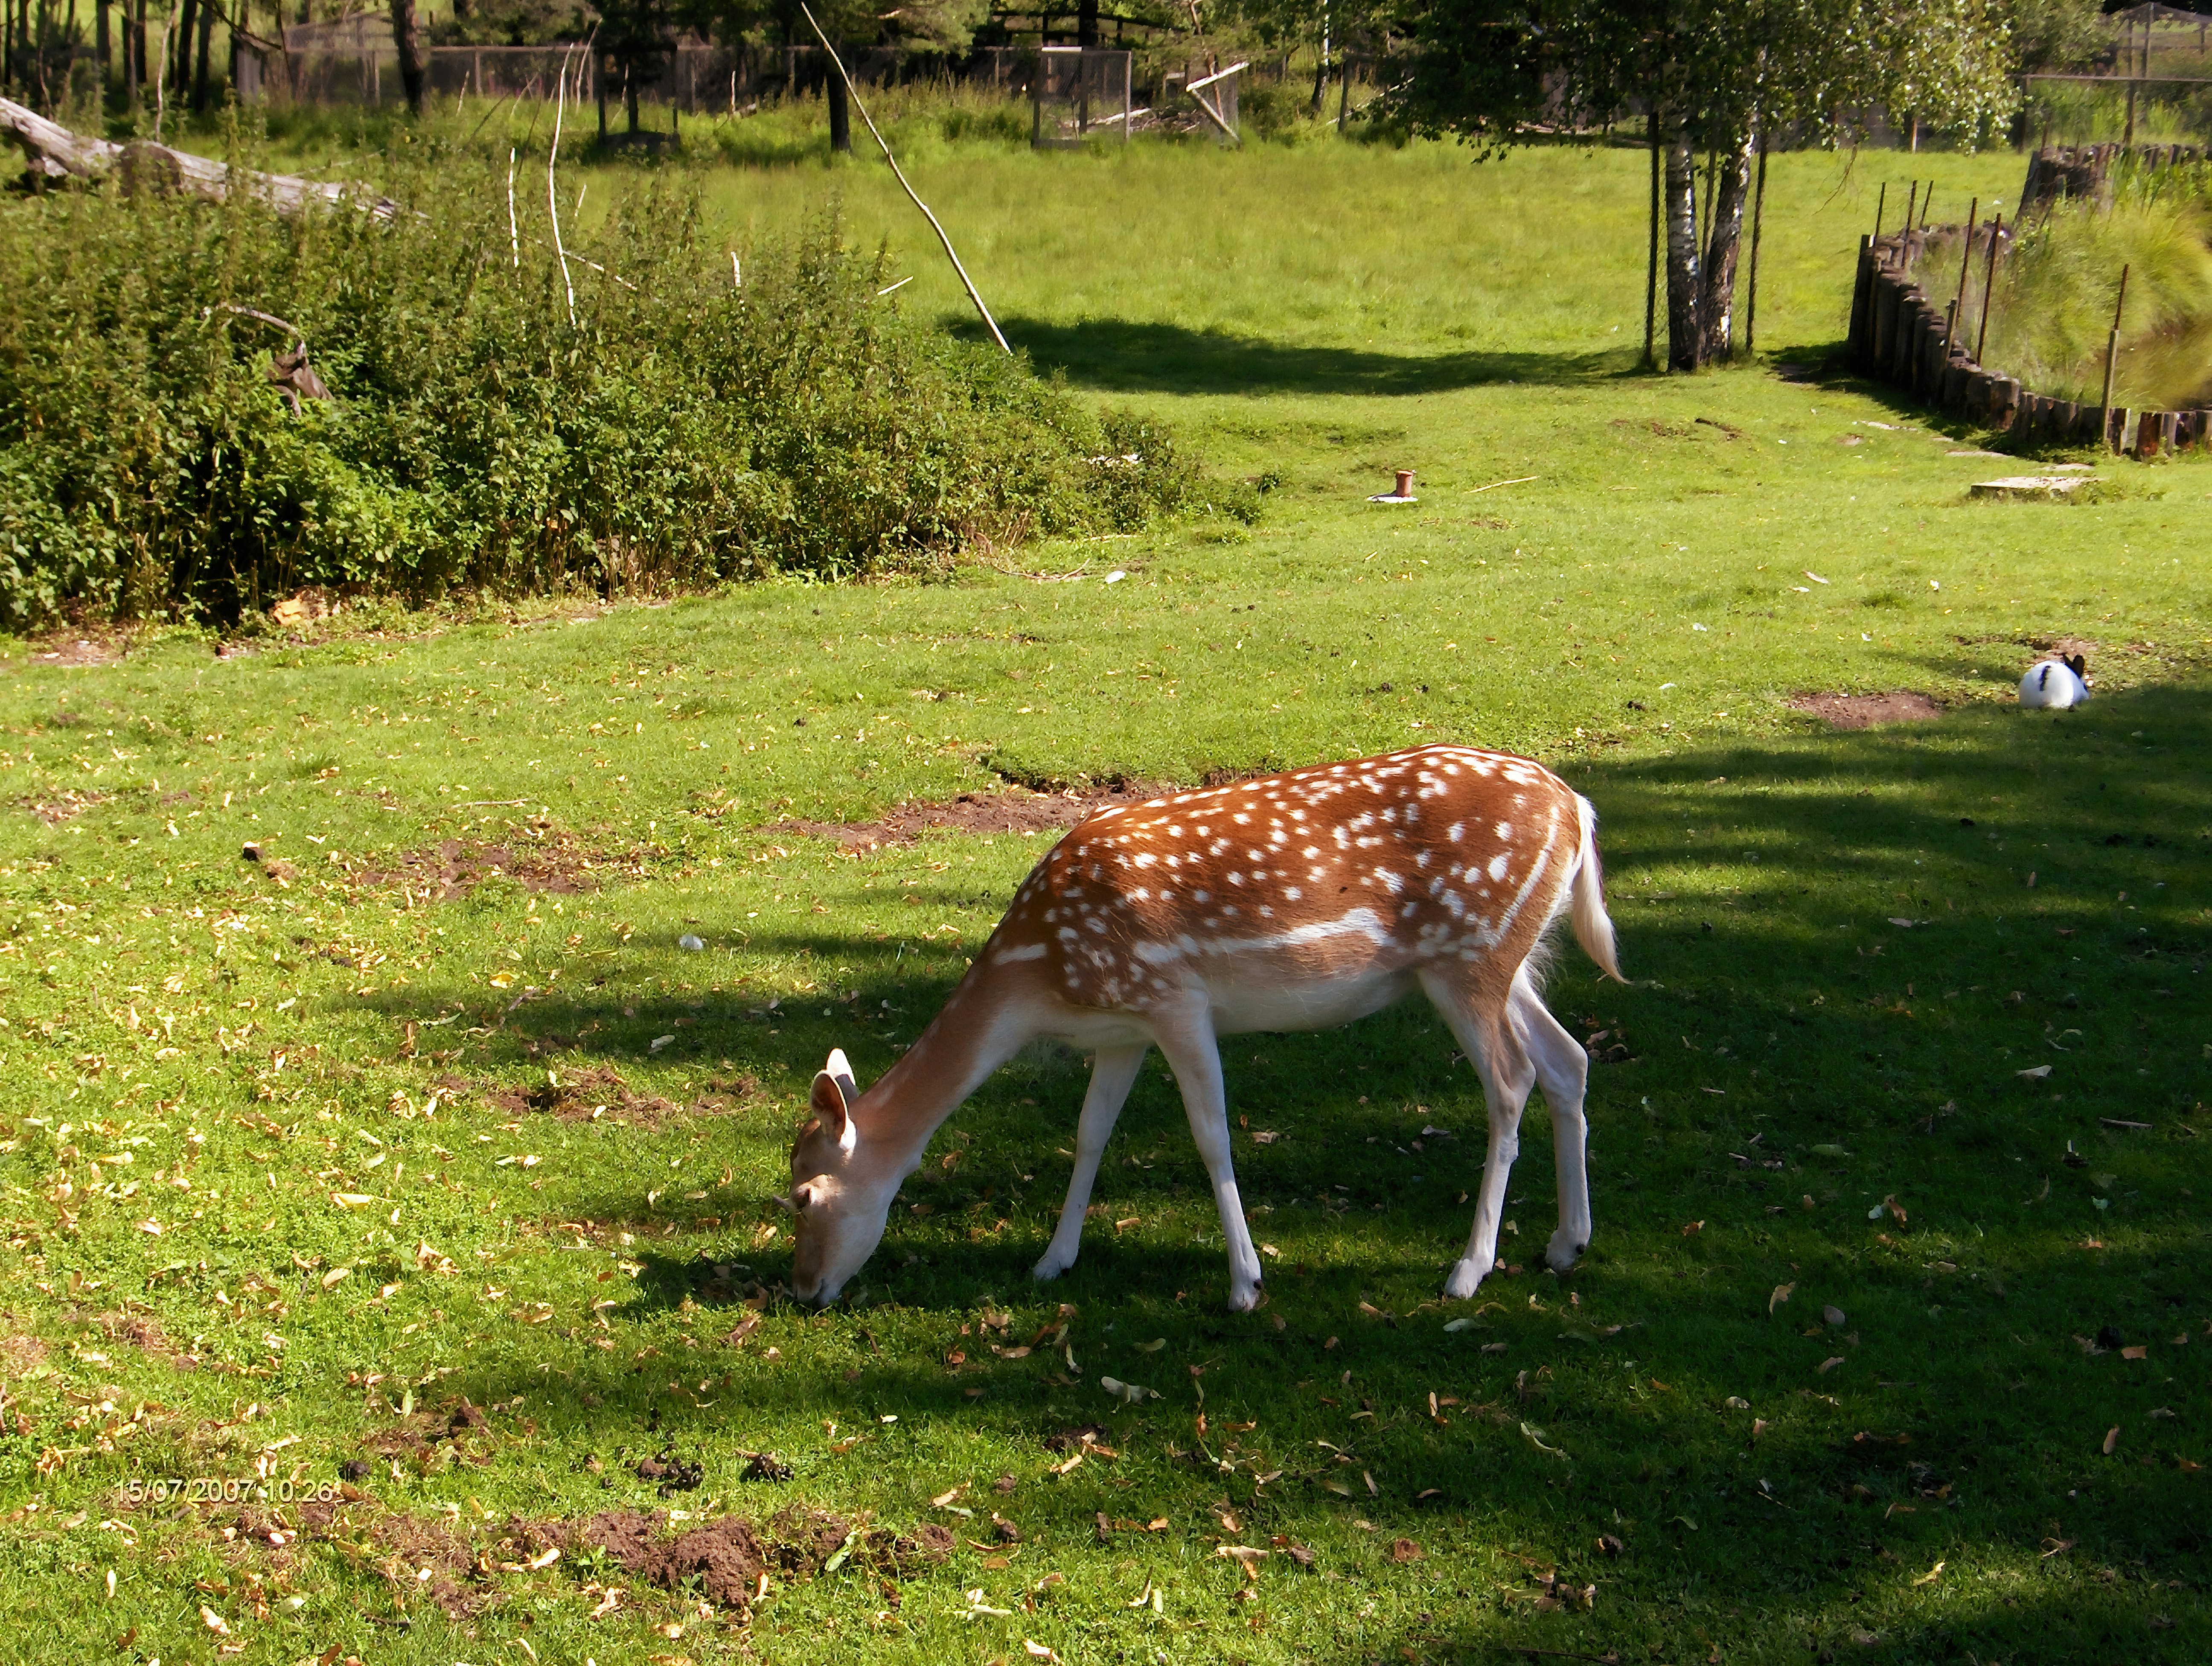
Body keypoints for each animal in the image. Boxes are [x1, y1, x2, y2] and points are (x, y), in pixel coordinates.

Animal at [784, 743, 1624, 1313]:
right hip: (1508, 958)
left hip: (1469, 955)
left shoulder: (1174, 998)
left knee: (1511, 1082)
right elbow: (1090, 1131)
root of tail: (1576, 808)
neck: (1040, 980)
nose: (802, 1289)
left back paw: (1467, 1269)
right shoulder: (1121, 1027)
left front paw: (1246, 1282)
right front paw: (1053, 1260)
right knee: (1569, 1060)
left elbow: (1211, 1133)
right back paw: (1566, 1243)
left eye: (800, 1196)